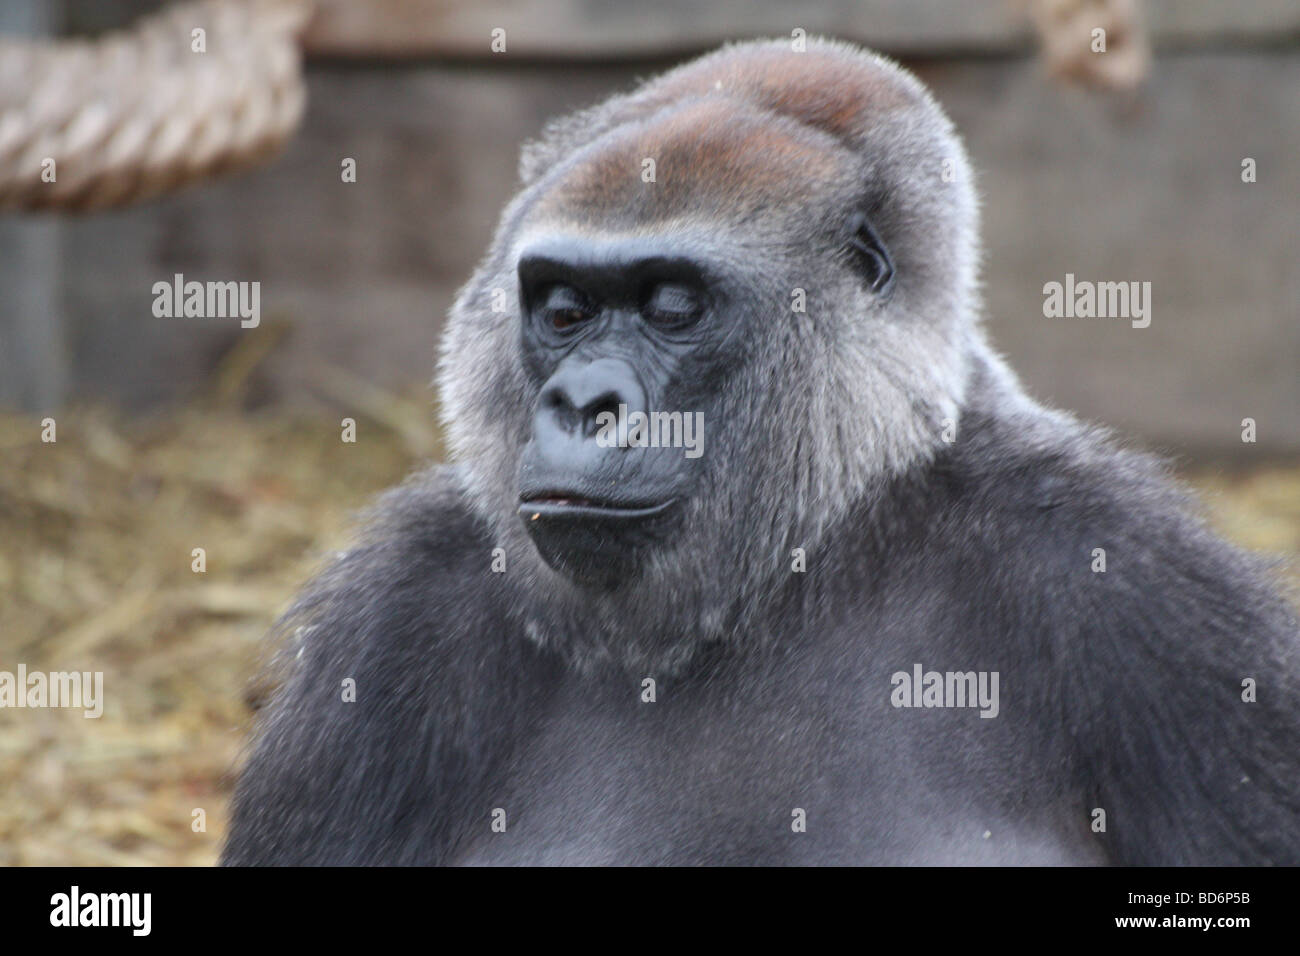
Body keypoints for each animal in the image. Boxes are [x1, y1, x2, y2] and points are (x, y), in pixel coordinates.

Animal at [222, 39, 1299, 865]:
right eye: (564, 310)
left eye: (672, 305)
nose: (583, 404)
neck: (806, 552)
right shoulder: (395, 614)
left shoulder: (1135, 580)